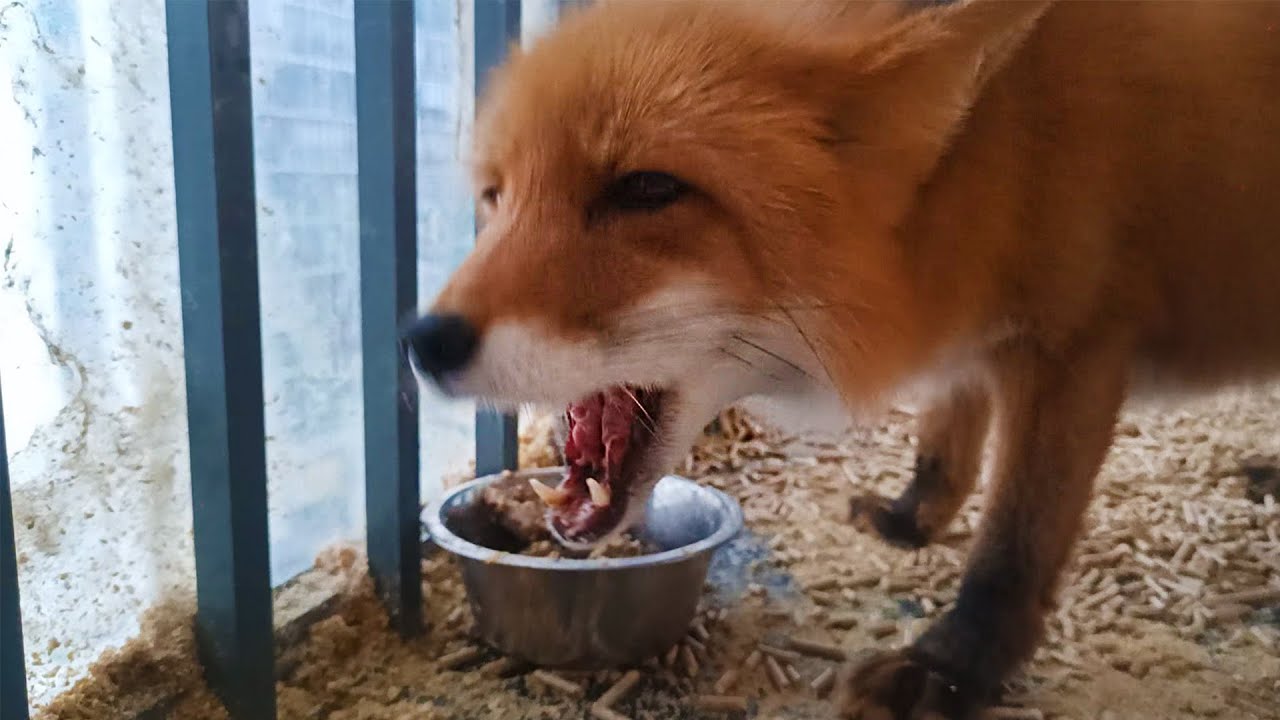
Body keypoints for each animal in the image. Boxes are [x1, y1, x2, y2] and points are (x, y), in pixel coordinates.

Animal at [402, 1, 1280, 717]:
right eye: (496, 197)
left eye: (646, 189)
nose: (420, 342)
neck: (1004, 142)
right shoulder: (976, 327)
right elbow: (948, 429)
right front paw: (914, 517)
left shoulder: (1076, 341)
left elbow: (1013, 546)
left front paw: (951, 672)